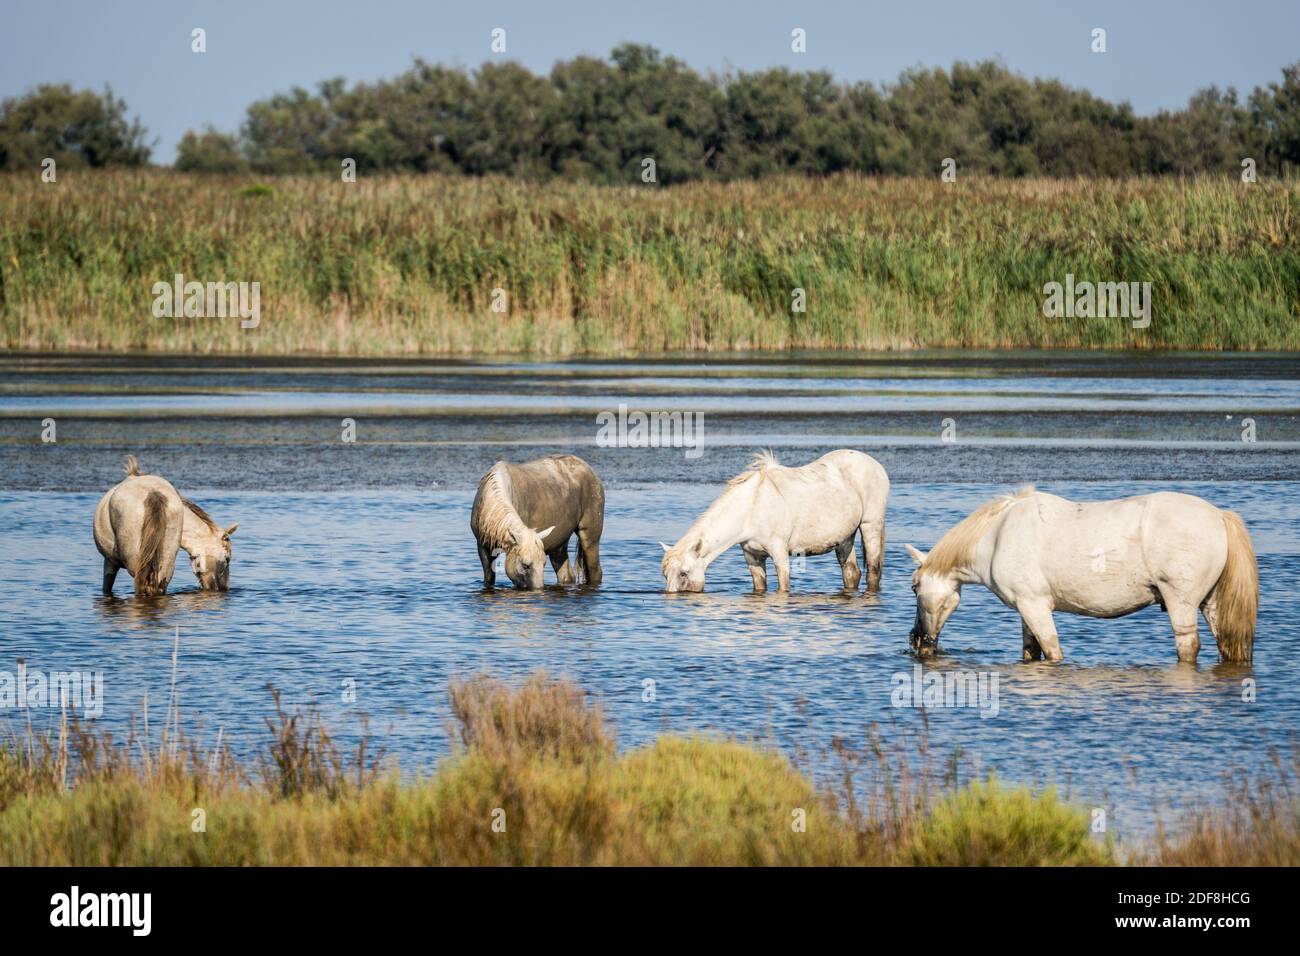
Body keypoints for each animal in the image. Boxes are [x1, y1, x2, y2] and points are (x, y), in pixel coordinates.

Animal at [471, 454, 605, 589]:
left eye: (543, 563)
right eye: (525, 565)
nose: (538, 589)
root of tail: (589, 469)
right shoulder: (482, 547)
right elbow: (489, 578)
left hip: (590, 537)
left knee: (595, 570)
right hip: (559, 544)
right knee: (567, 575)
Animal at [661, 449, 889, 594]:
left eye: (684, 573)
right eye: (665, 575)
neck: (751, 508)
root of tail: (875, 464)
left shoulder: (780, 552)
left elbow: (783, 585)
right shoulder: (752, 556)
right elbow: (759, 586)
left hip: (870, 525)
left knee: (873, 571)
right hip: (845, 536)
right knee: (851, 573)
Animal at [905, 487, 1258, 663]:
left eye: (914, 587)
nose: (917, 640)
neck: (997, 535)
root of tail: (1219, 516)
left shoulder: (1035, 606)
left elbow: (1052, 650)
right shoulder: (1026, 608)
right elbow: (1031, 651)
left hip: (1180, 603)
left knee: (1188, 647)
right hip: (1211, 604)